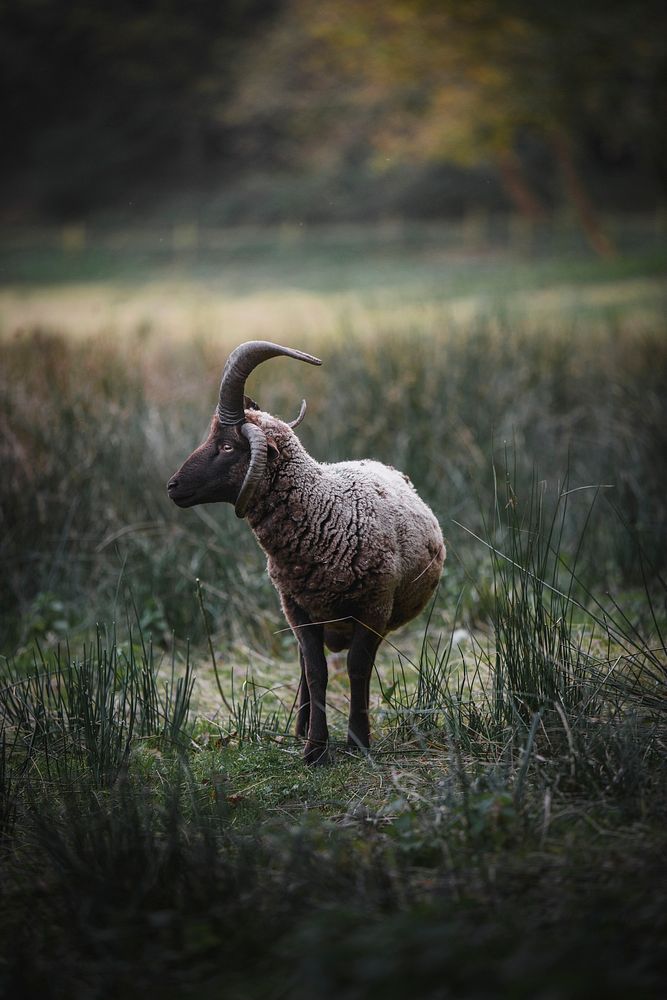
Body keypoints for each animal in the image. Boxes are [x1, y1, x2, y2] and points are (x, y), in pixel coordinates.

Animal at [167, 341, 445, 764]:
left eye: (227, 445)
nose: (173, 486)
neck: (324, 510)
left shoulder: (373, 610)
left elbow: (357, 669)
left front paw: (357, 741)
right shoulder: (296, 608)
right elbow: (316, 672)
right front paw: (314, 749)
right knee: (303, 663)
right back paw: (300, 728)